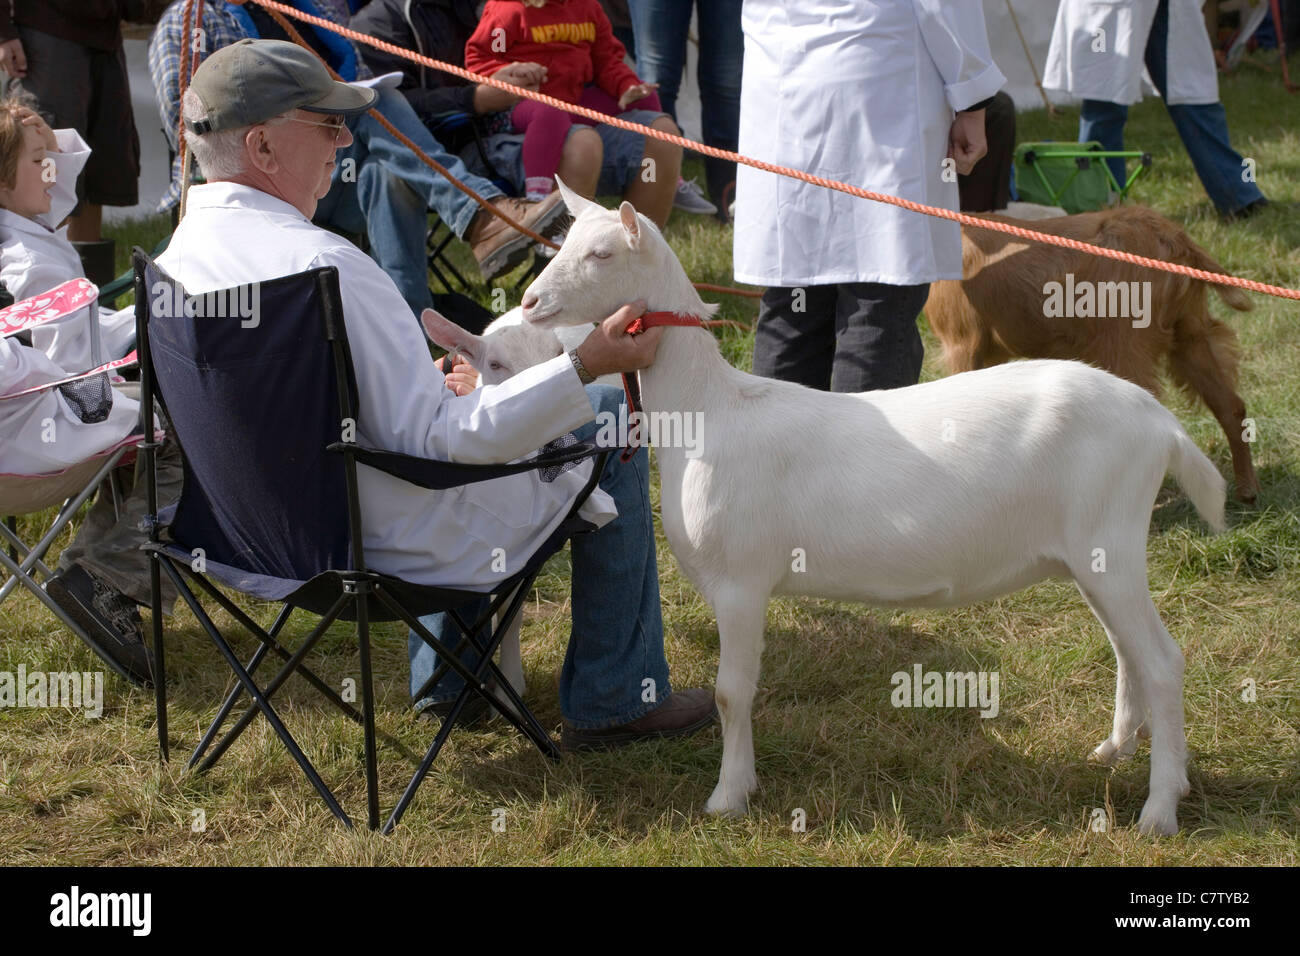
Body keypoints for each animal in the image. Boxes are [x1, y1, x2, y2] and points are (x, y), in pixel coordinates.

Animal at [925, 205, 1258, 502]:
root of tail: (1170, 237)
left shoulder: (962, 344)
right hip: (1190, 336)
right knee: (1231, 406)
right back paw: (1246, 491)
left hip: (1127, 346)